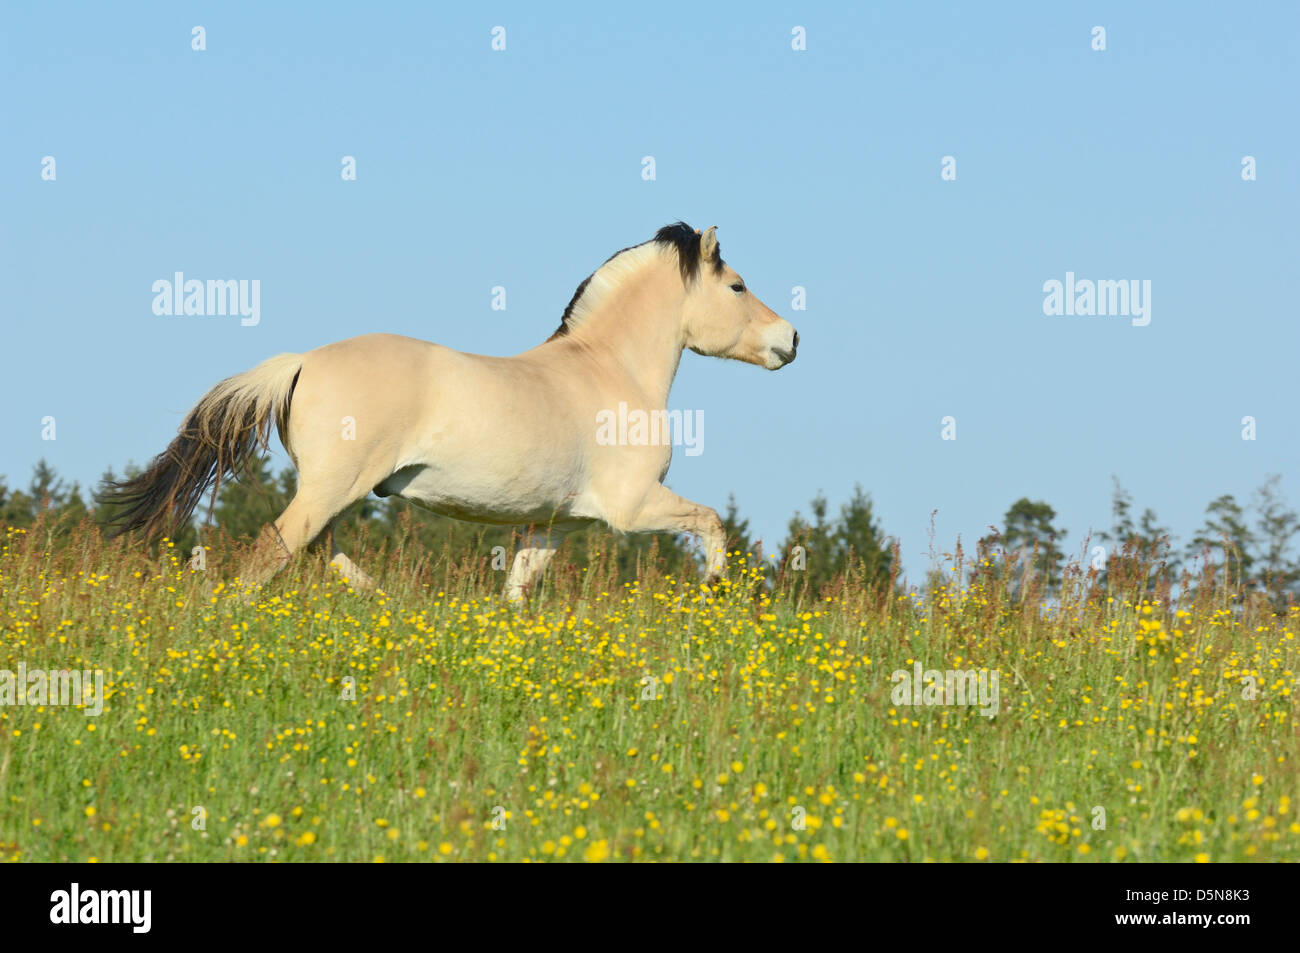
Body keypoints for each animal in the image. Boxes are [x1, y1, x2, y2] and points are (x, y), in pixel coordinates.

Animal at [99, 222, 799, 600]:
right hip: (331, 488)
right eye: (737, 286)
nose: (791, 339)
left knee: (320, 551)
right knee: (274, 551)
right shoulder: (632, 509)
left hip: (338, 492)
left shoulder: (555, 525)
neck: (607, 371)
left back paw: (386, 604)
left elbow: (517, 591)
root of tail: (302, 362)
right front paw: (713, 589)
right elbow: (713, 523)